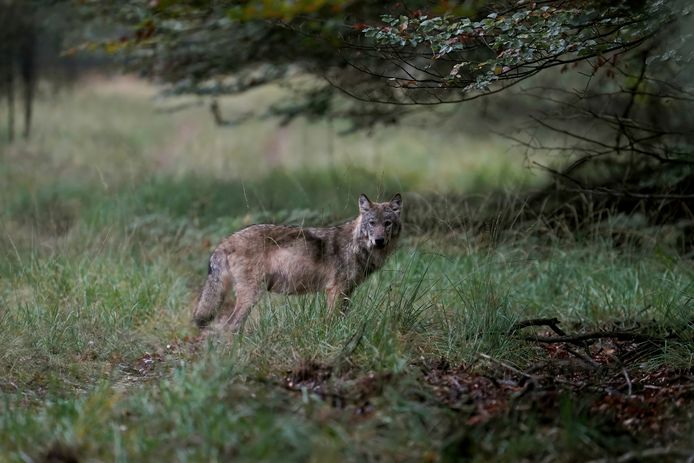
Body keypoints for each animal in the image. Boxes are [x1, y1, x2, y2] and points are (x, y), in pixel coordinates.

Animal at [193, 193, 402, 331]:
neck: (356, 246)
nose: (379, 241)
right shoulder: (335, 290)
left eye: (387, 223)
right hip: (252, 295)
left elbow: (342, 318)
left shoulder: (347, 292)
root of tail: (226, 241)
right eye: (372, 223)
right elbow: (331, 321)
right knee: (230, 326)